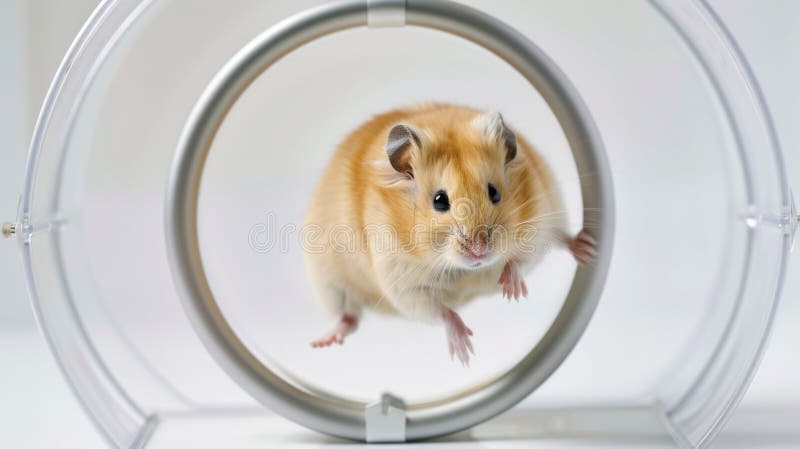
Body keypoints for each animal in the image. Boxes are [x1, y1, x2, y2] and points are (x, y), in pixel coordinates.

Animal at [303, 103, 595, 365]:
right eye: (440, 201)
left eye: (494, 192)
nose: (480, 251)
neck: (463, 269)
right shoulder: (402, 284)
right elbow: (439, 310)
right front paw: (465, 353)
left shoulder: (535, 223)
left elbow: (521, 260)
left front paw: (512, 292)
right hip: (328, 283)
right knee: (348, 317)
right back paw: (322, 342)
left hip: (553, 207)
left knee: (561, 235)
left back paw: (588, 249)